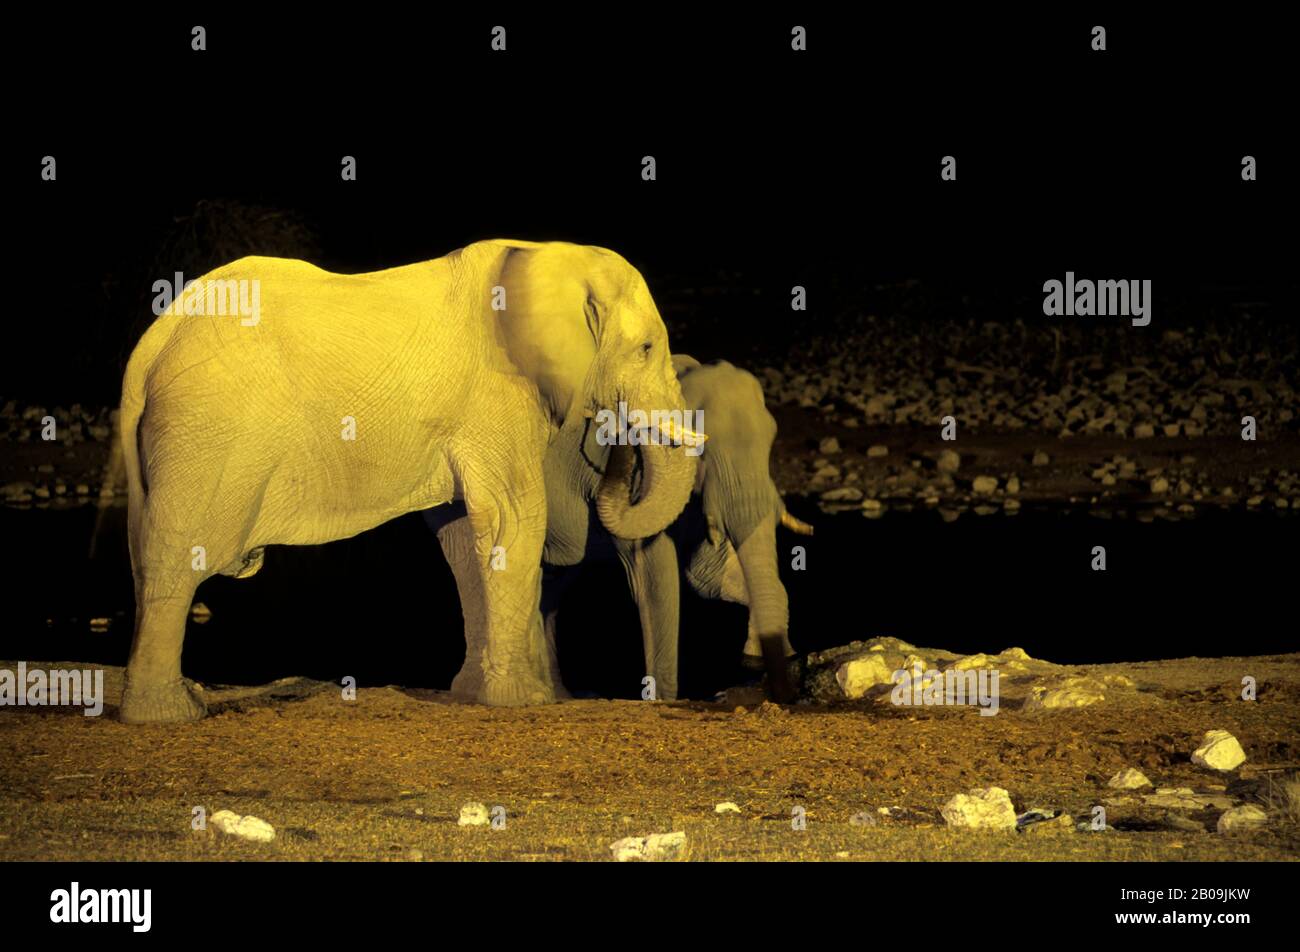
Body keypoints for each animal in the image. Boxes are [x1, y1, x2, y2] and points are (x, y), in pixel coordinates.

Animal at [116, 239, 703, 723]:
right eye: (647, 349)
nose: (619, 439)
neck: (548, 257)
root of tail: (151, 343)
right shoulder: (498, 395)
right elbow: (513, 519)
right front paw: (525, 703)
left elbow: (463, 534)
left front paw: (471, 694)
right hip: (208, 433)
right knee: (181, 558)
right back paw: (167, 716)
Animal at [426, 355, 813, 703]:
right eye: (702, 450)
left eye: (771, 441)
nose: (784, 696)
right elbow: (655, 575)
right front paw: (662, 699)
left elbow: (707, 576)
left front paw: (759, 655)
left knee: (551, 582)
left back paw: (558, 694)